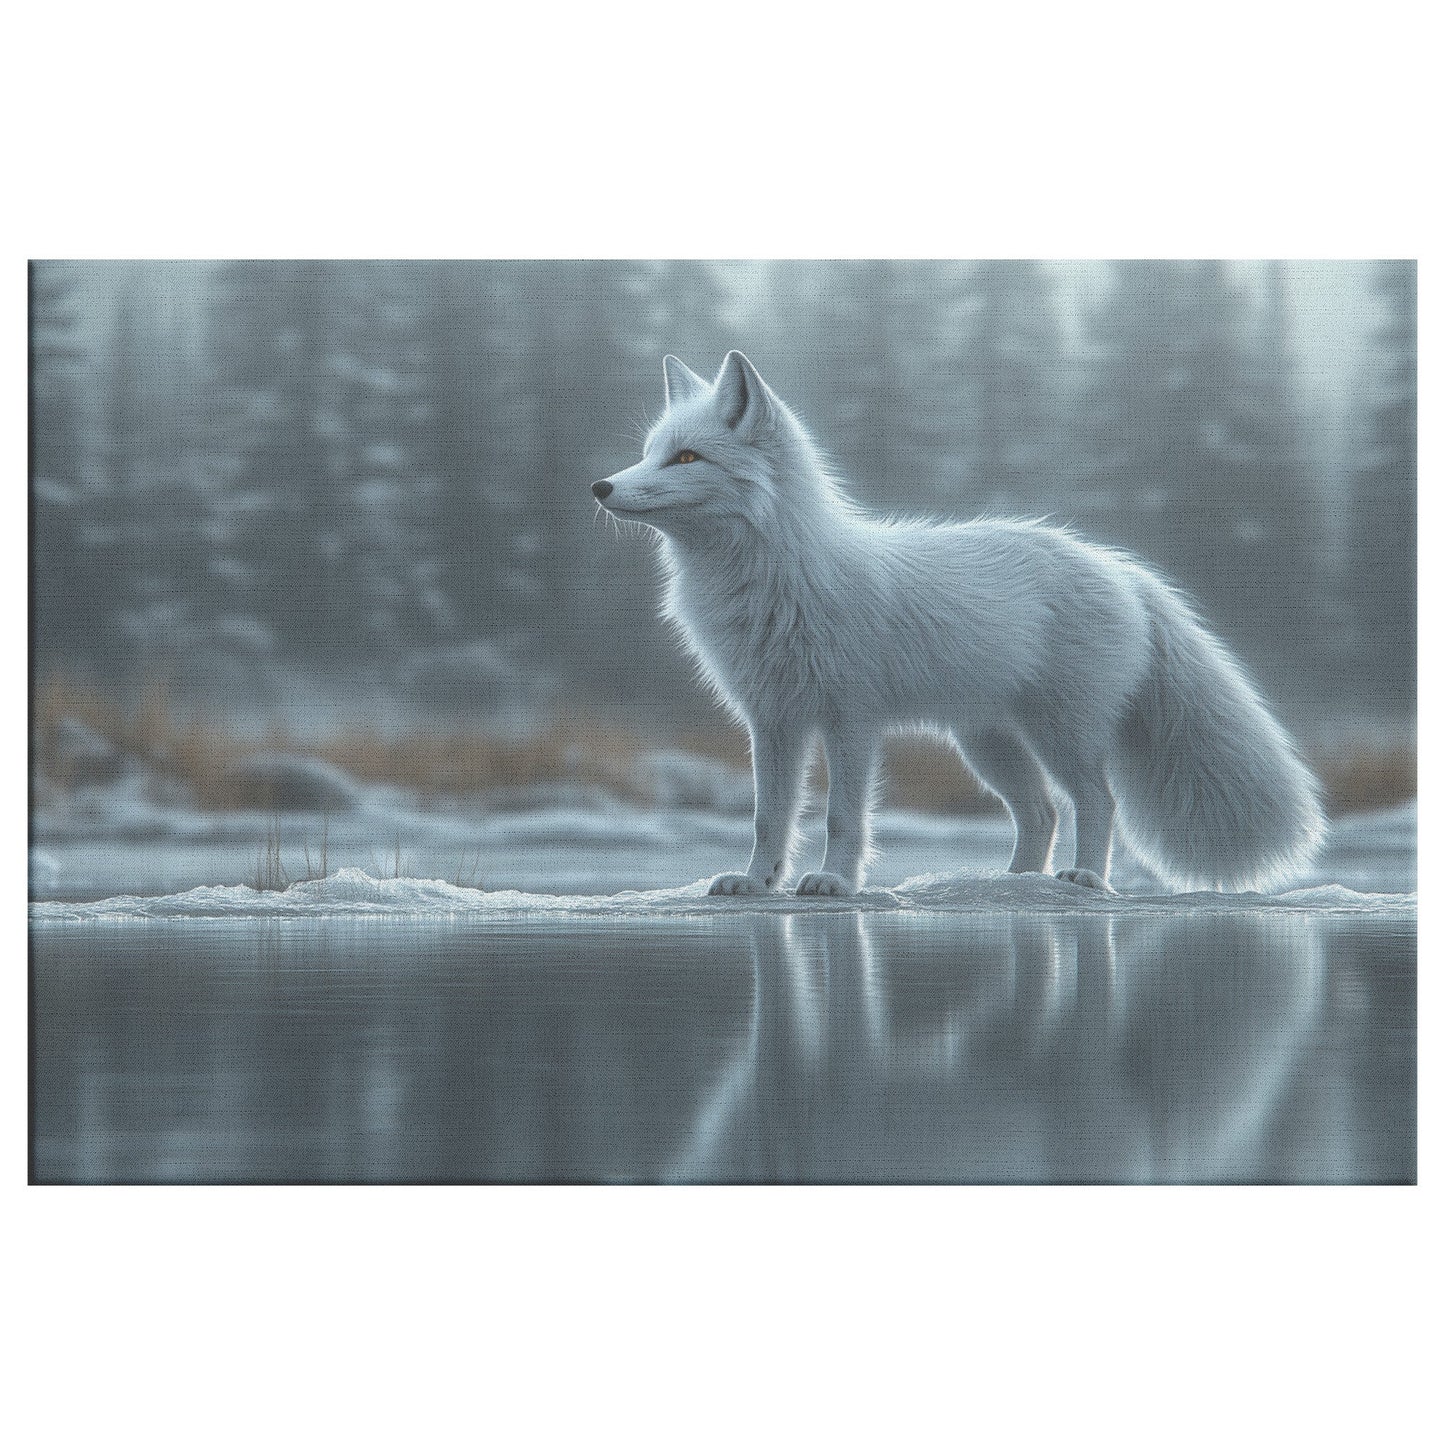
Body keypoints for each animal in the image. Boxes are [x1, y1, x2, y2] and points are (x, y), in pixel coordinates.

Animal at [591, 350, 1325, 897]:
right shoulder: (771, 719)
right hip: (986, 742)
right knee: (1041, 811)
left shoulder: (850, 718)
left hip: (1060, 733)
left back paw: (1084, 879)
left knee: (1096, 802)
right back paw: (1010, 885)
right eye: (649, 451)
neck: (779, 578)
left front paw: (833, 883)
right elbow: (767, 817)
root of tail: (1121, 569)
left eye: (687, 457)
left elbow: (841, 817)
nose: (600, 487)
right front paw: (757, 883)